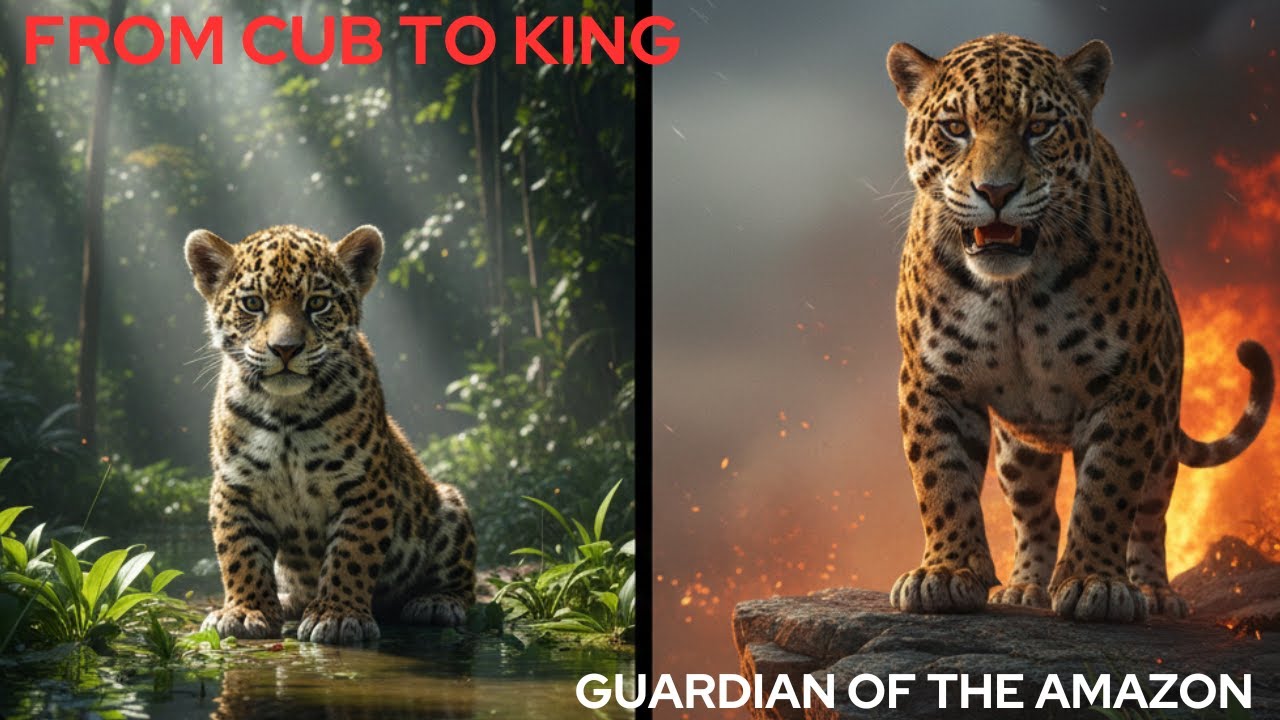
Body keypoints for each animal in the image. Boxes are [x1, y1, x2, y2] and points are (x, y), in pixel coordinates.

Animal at [184, 224, 477, 644]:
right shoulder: (235, 486)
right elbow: (239, 553)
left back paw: (436, 602)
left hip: (449, 505)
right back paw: (288, 601)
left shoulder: (364, 487)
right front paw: (246, 611)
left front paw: (337, 616)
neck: (286, 413)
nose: (285, 348)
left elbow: (351, 555)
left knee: (463, 584)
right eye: (253, 304)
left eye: (318, 303)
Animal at [883, 34, 1274, 622]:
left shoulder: (1127, 385)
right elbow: (941, 479)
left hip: (1163, 426)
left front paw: (1097, 583)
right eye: (955, 127)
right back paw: (1025, 587)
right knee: (1036, 514)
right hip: (1019, 451)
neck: (1013, 289)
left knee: (1151, 515)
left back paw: (1154, 591)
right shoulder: (932, 379)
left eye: (1039, 127)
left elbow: (1105, 490)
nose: (995, 191)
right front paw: (947, 573)